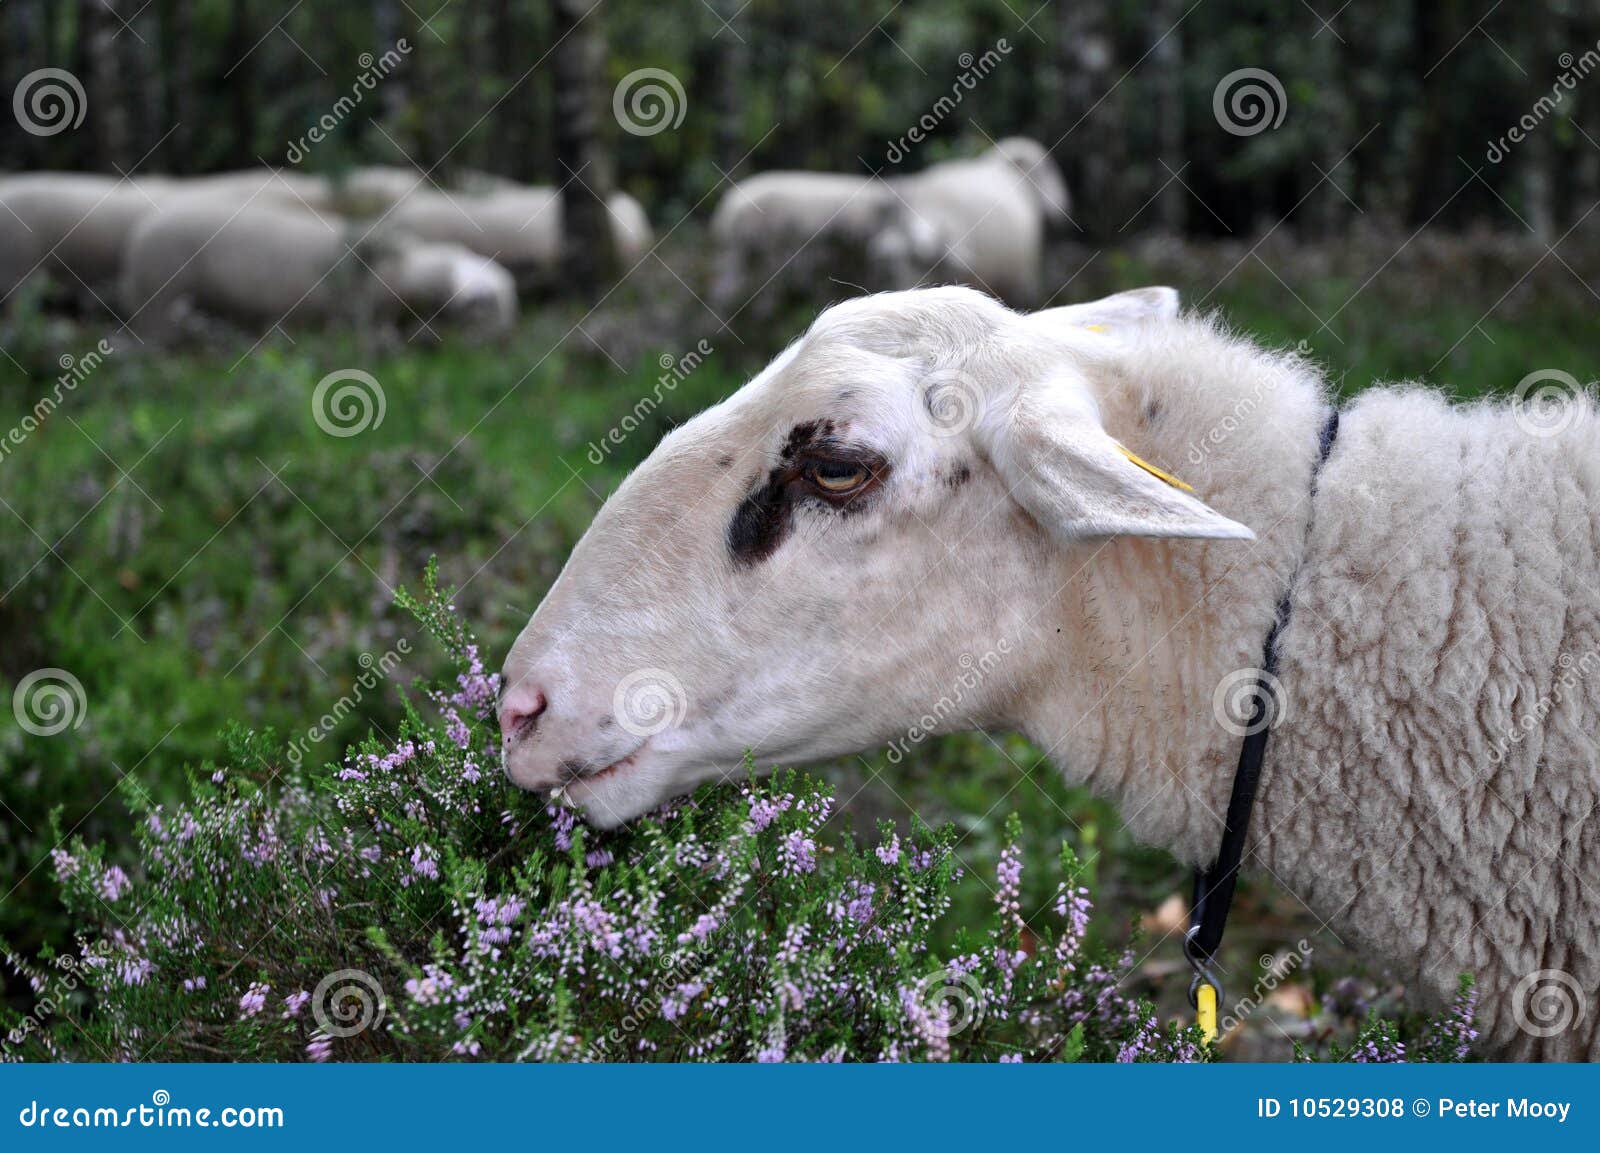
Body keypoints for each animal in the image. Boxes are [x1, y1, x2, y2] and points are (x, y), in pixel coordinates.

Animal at [119, 194, 516, 339]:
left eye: (504, 301)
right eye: (487, 303)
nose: (503, 338)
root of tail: (140, 231)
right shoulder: (356, 307)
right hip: (157, 290)